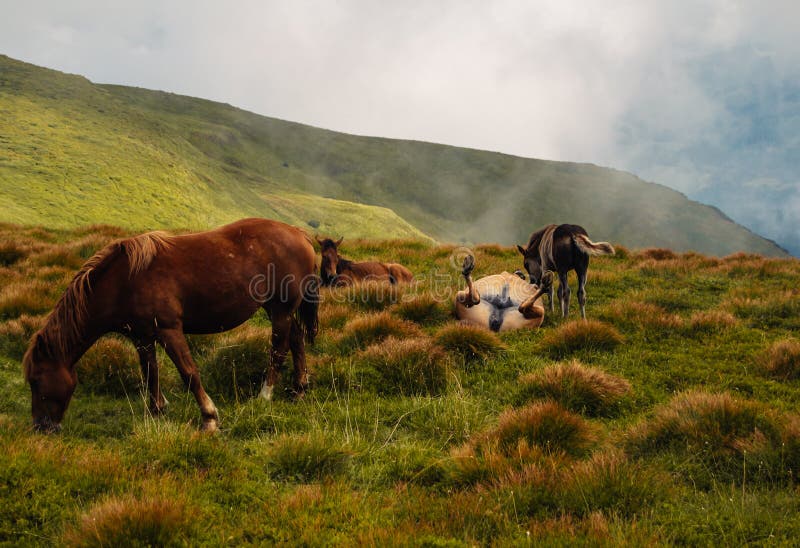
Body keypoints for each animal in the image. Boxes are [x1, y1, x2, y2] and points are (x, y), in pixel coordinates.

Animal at [23, 218, 319, 433]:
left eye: (36, 381)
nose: (41, 427)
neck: (123, 281)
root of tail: (299, 234)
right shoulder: (142, 337)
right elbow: (150, 373)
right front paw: (156, 411)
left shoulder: (168, 330)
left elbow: (189, 373)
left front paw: (209, 417)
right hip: (275, 310)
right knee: (296, 340)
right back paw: (299, 390)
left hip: (280, 310)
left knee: (280, 348)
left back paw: (265, 395)